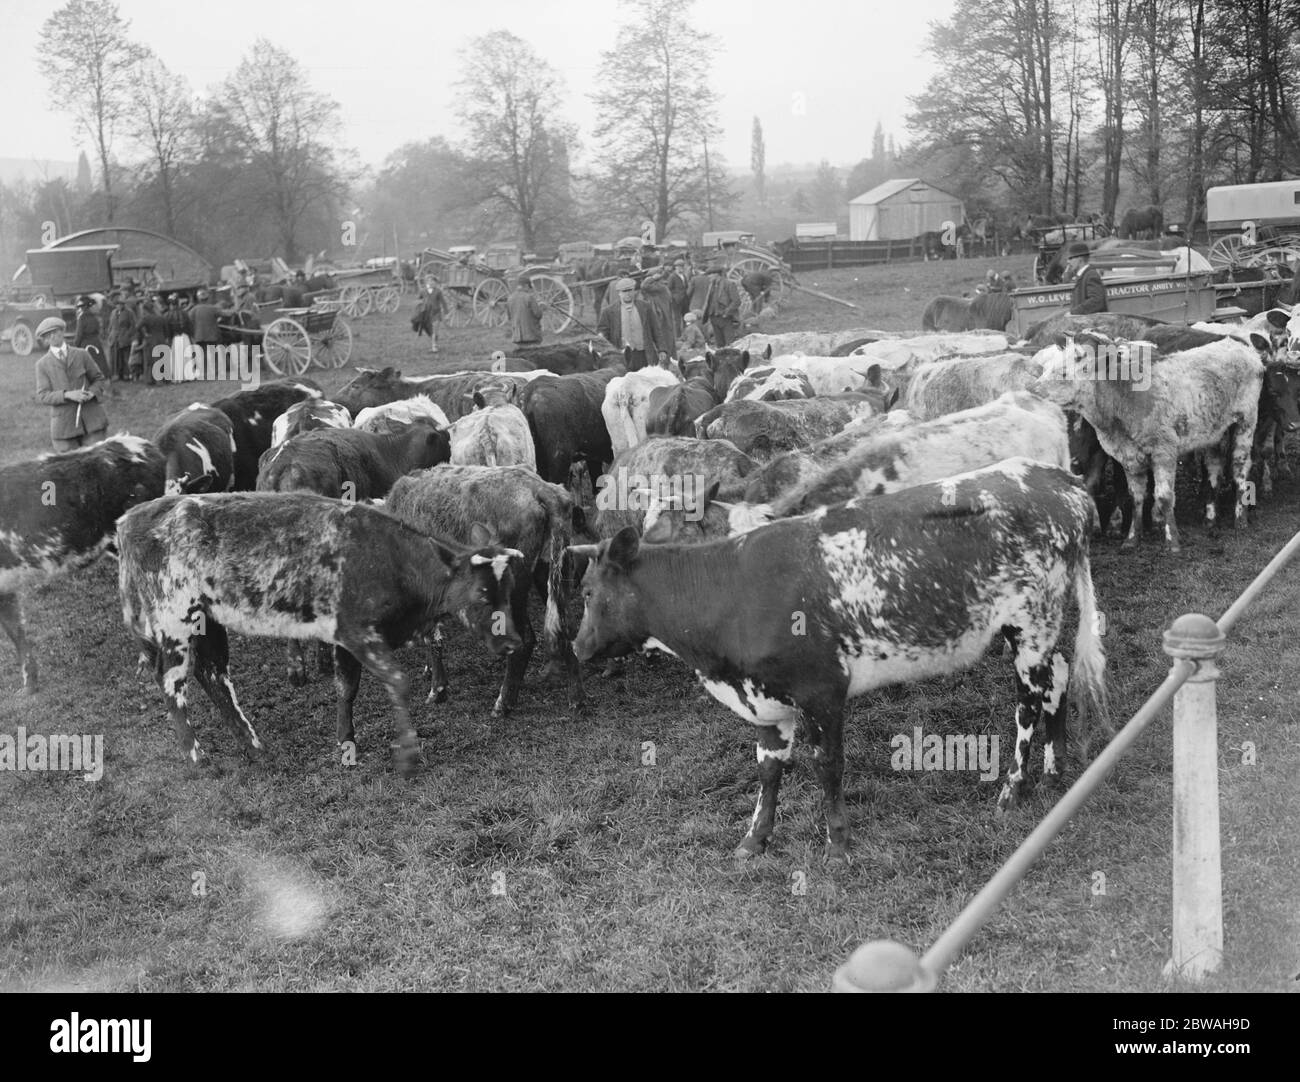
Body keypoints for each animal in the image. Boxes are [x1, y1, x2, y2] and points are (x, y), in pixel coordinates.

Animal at [117, 492, 524, 775]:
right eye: (482, 594)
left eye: (509, 591)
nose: (513, 642)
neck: (390, 559)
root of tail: (131, 518)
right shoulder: (358, 632)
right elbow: (396, 681)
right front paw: (407, 756)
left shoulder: (343, 637)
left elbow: (347, 688)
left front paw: (346, 744)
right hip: (176, 619)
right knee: (172, 681)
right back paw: (196, 755)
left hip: (208, 619)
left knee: (213, 673)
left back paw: (254, 746)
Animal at [385, 465, 584, 716]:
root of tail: (541, 488)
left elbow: (433, 636)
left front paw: (438, 689)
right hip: (552, 572)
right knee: (565, 627)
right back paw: (576, 697)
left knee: (526, 640)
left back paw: (503, 702)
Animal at [568, 458, 1107, 858]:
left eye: (589, 591)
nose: (577, 646)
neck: (728, 588)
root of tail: (1062, 481)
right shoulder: (764, 700)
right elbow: (768, 769)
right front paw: (754, 839)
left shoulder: (822, 691)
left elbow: (827, 764)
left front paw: (838, 843)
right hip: (1035, 631)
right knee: (1057, 679)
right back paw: (1054, 767)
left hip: (1031, 625)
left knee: (1028, 704)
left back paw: (1013, 789)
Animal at [1032, 332, 1266, 551]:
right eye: (1048, 366)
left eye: (1063, 372)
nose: (1033, 389)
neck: (1124, 398)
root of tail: (1240, 345)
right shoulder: (1128, 456)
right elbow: (1136, 496)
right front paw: (1132, 538)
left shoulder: (1164, 451)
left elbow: (1164, 496)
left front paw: (1172, 542)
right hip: (1215, 432)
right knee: (1214, 468)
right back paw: (1210, 518)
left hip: (1246, 422)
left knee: (1239, 467)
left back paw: (1240, 519)